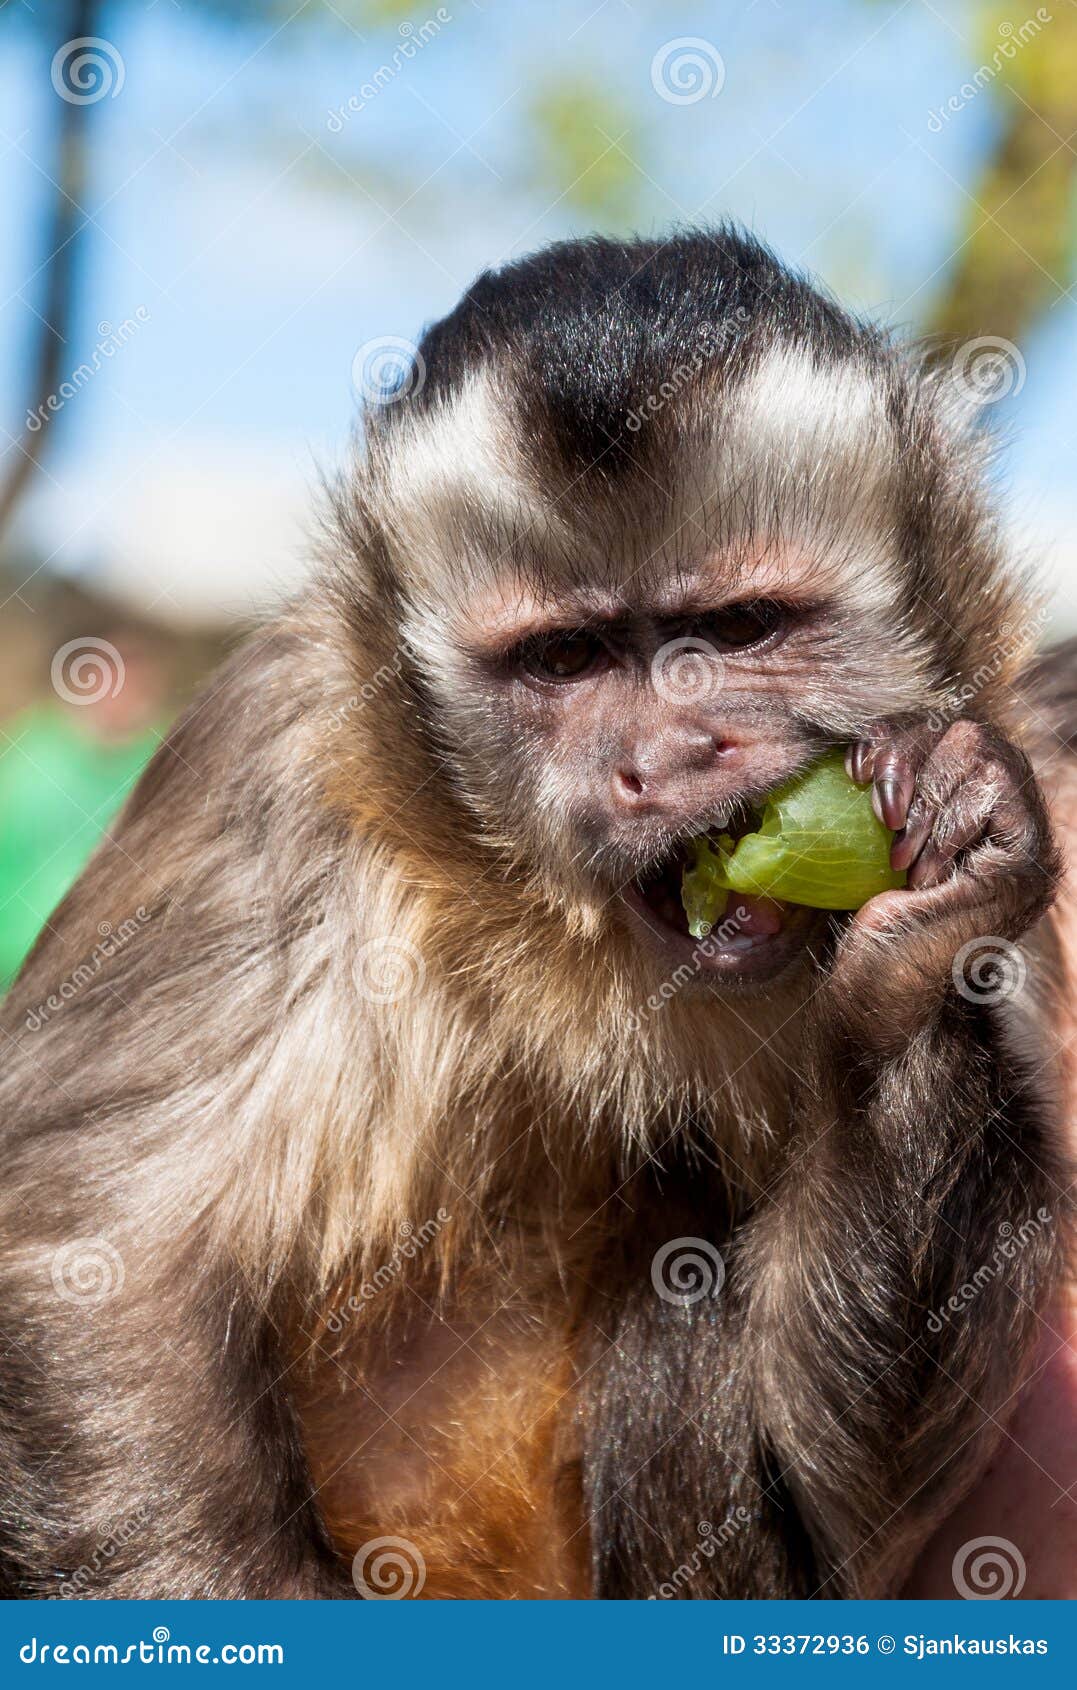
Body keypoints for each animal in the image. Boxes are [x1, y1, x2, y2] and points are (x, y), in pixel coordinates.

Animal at [0, 226, 1073, 1600]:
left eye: (741, 628)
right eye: (565, 659)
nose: (666, 758)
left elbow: (845, 1512)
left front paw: (921, 947)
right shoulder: (275, 761)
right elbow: (82, 1255)